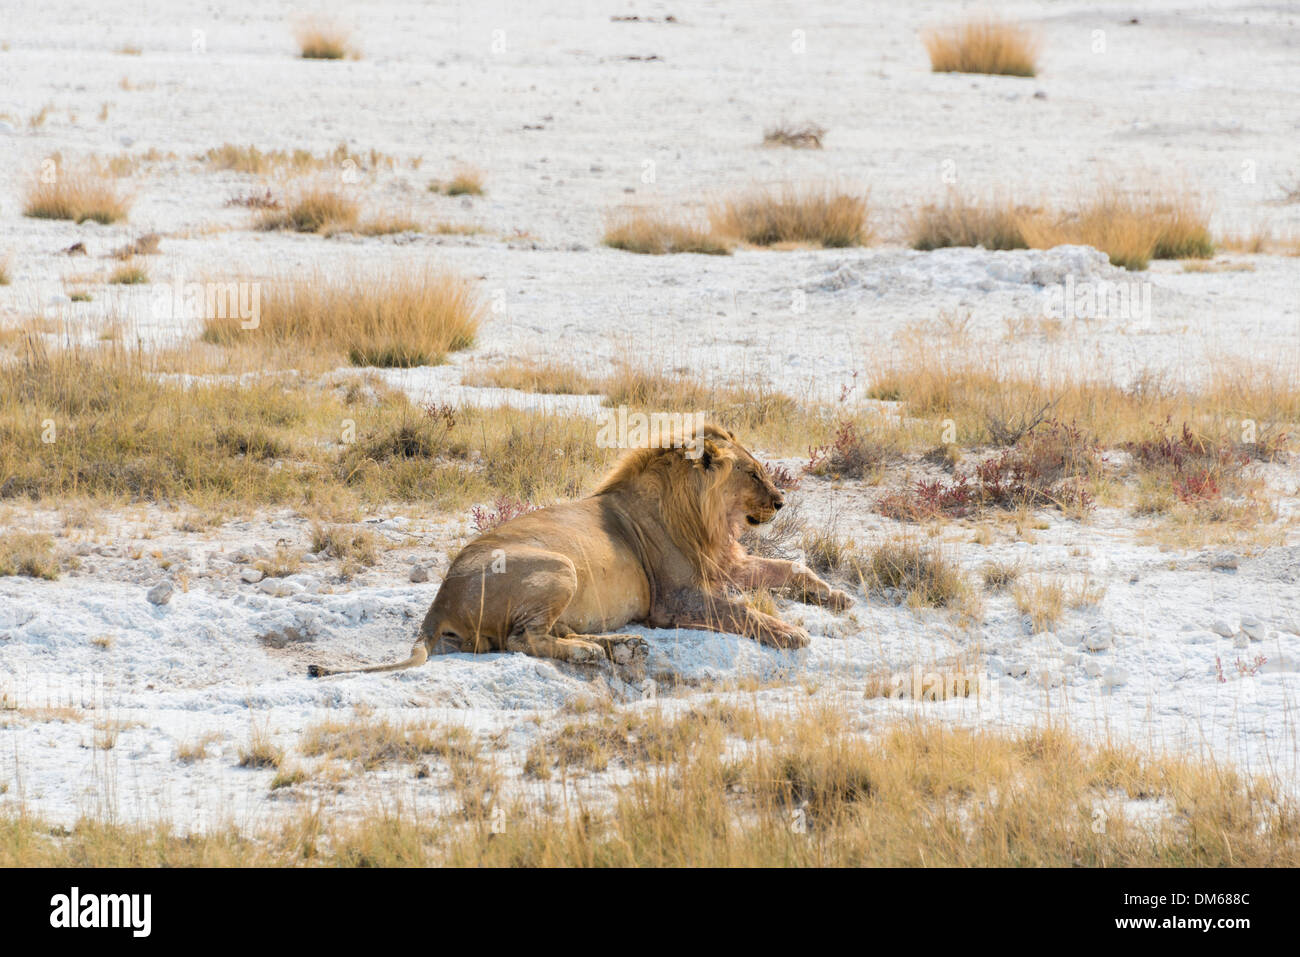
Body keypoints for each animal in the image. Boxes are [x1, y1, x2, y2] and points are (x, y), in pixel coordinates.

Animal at [307, 423, 853, 677]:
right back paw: (593, 652)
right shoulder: (676, 600)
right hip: (560, 564)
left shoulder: (725, 566)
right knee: (523, 640)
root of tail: (439, 600)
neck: (707, 519)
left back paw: (618, 645)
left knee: (551, 631)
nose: (781, 502)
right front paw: (791, 632)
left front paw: (836, 596)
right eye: (755, 474)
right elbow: (742, 612)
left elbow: (790, 568)